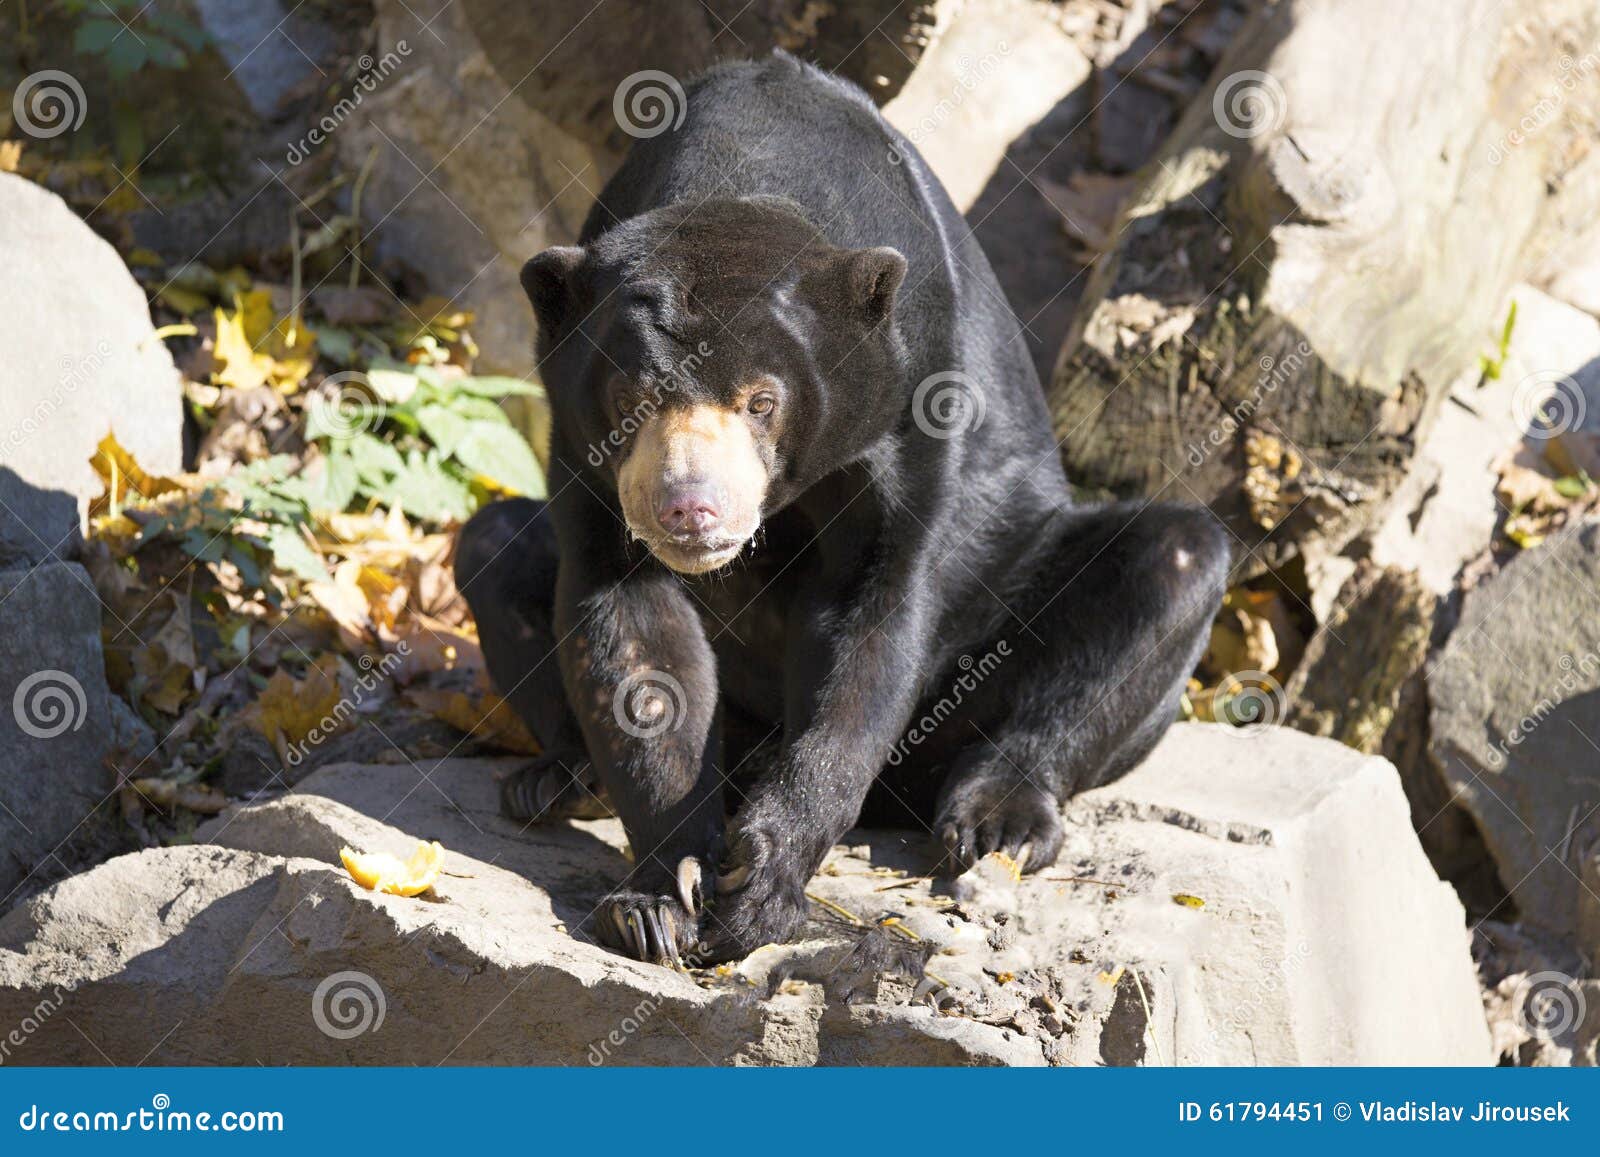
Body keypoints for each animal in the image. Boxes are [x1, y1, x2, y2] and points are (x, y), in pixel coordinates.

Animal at [455, 51, 1229, 966]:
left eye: (761, 402)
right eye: (632, 399)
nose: (689, 511)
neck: (748, 168)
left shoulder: (910, 392)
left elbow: (871, 611)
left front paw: (761, 886)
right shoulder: (583, 450)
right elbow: (631, 628)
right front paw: (656, 900)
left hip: (1004, 602)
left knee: (1173, 561)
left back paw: (995, 817)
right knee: (493, 543)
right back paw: (558, 779)